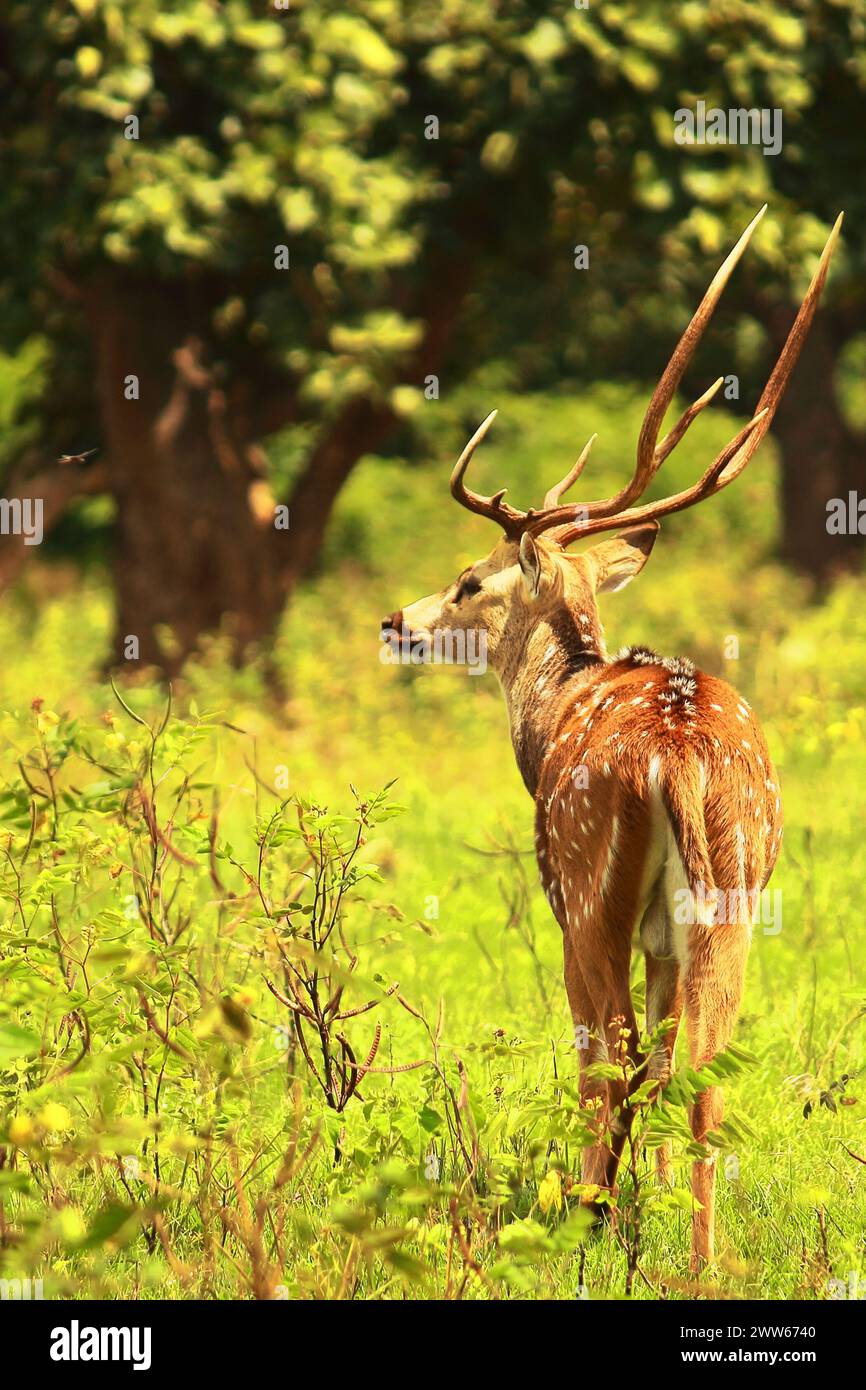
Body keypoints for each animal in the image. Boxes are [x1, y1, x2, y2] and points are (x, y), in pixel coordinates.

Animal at [381, 207, 842, 1271]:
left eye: (469, 580)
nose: (398, 619)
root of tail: (679, 754)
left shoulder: (566, 903)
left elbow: (603, 1053)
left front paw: (599, 1208)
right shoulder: (671, 932)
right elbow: (677, 1057)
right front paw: (654, 1205)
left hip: (589, 880)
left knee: (620, 1047)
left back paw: (586, 1218)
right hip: (736, 890)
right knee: (706, 1063)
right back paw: (703, 1260)